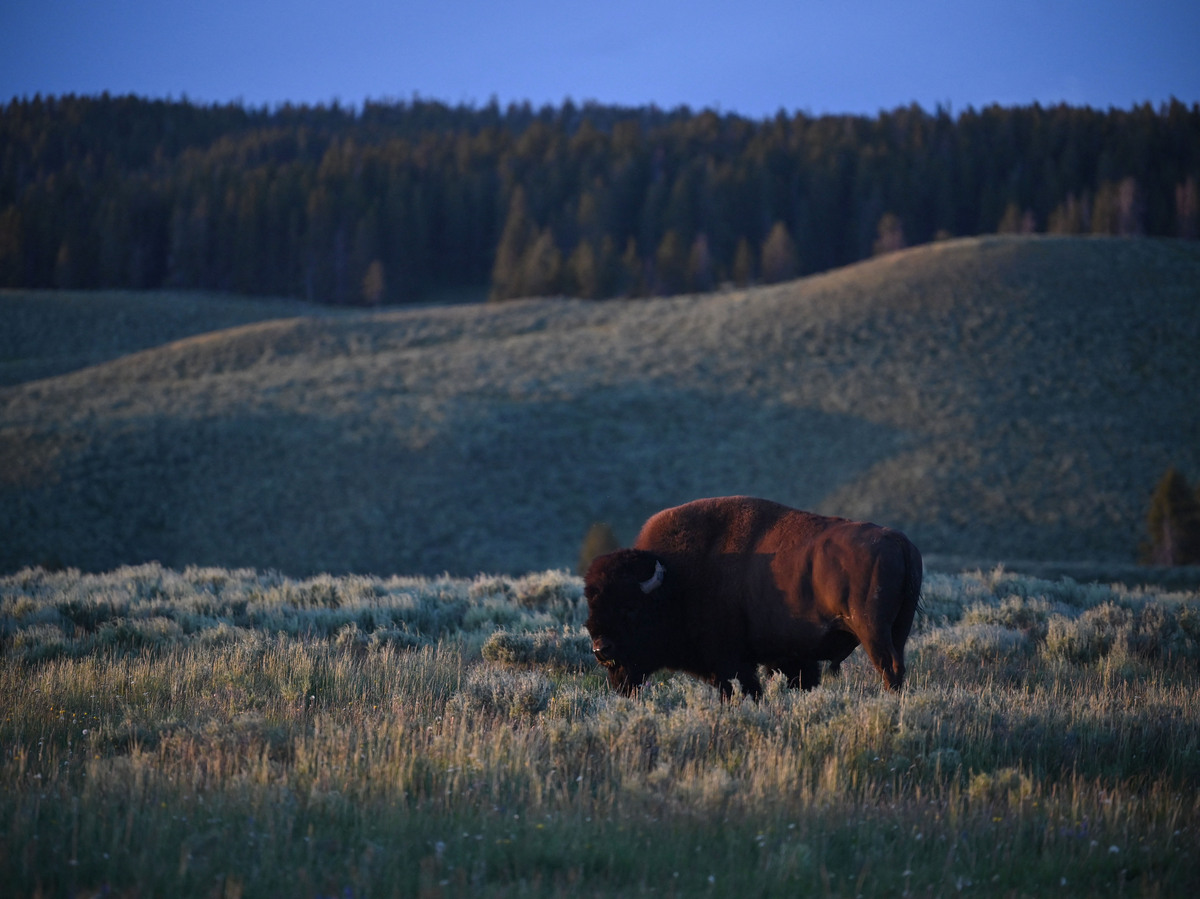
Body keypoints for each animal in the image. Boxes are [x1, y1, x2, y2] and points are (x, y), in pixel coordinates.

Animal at [584, 496, 922, 699]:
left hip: (872, 632)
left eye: (630, 609)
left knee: (889, 667)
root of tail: (900, 541)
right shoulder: (792, 659)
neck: (675, 580)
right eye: (591, 610)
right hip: (899, 630)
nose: (601, 649)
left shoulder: (730, 662)